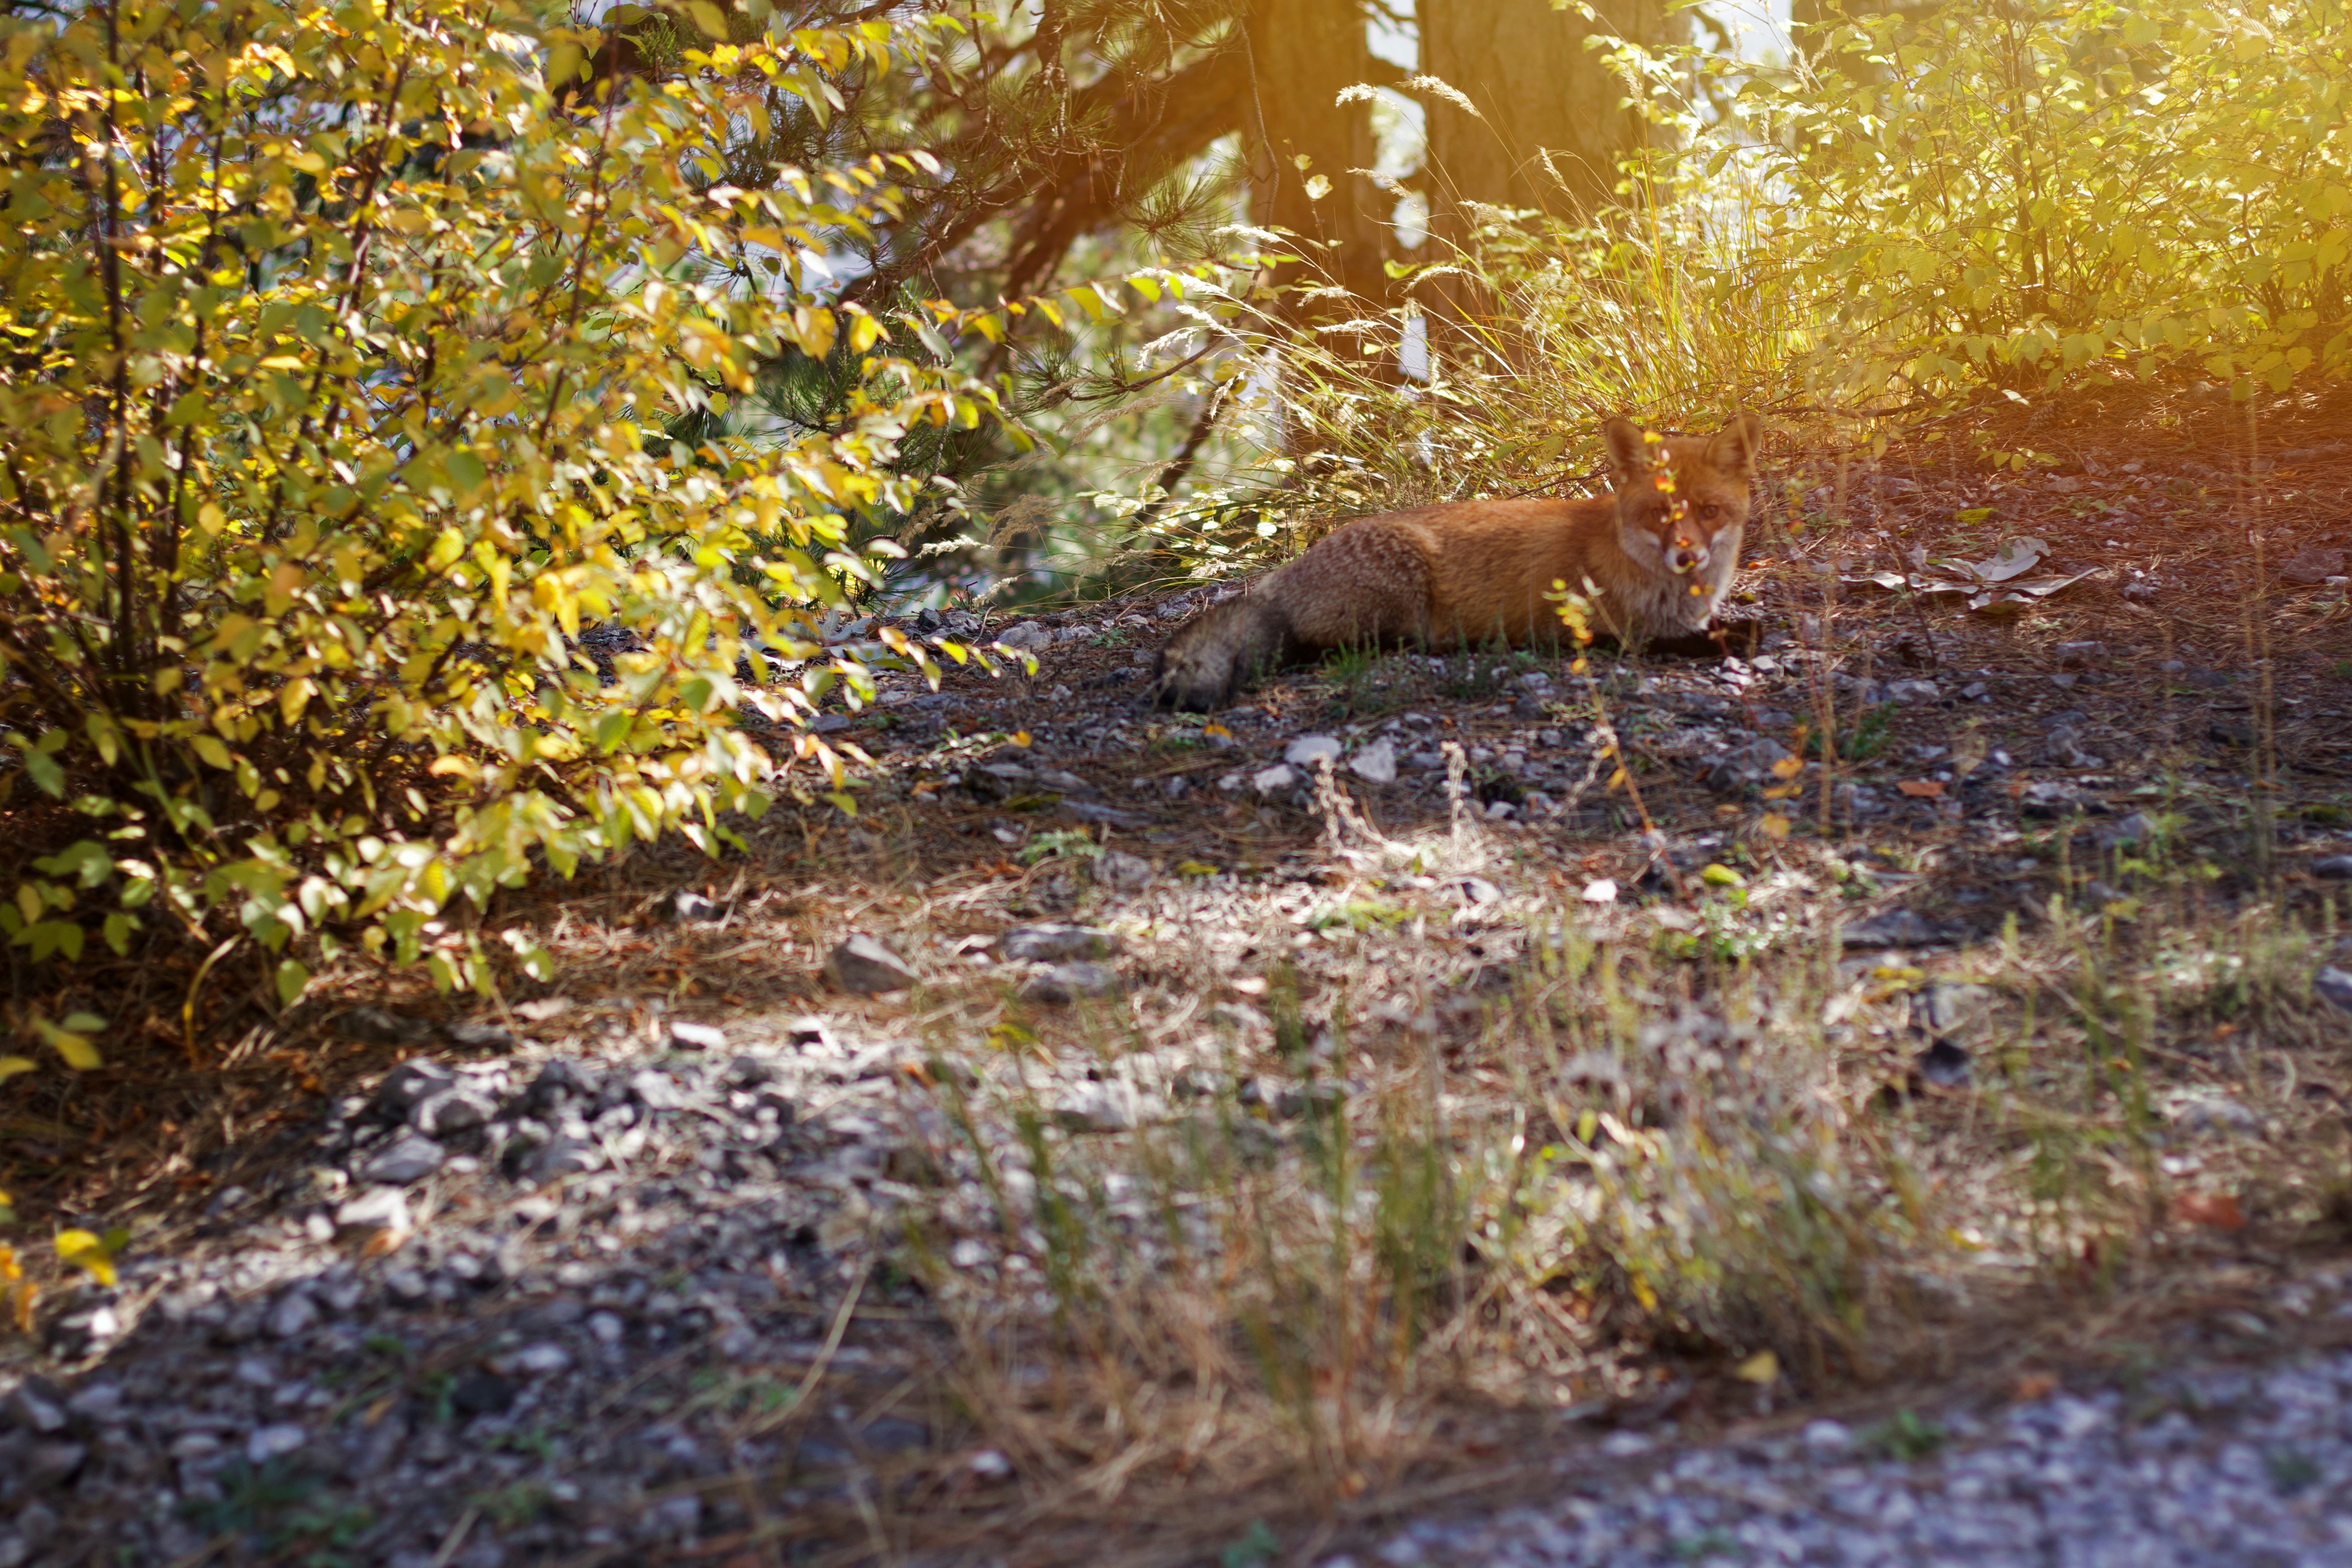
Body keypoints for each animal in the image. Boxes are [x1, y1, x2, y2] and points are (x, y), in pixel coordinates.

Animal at [1152, 413, 1763, 711]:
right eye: (1661, 513)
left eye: (1710, 511)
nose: (1687, 555)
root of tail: (1282, 577)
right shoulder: (1606, 632)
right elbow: (1709, 638)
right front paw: (1734, 636)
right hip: (1403, 586)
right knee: (1334, 647)